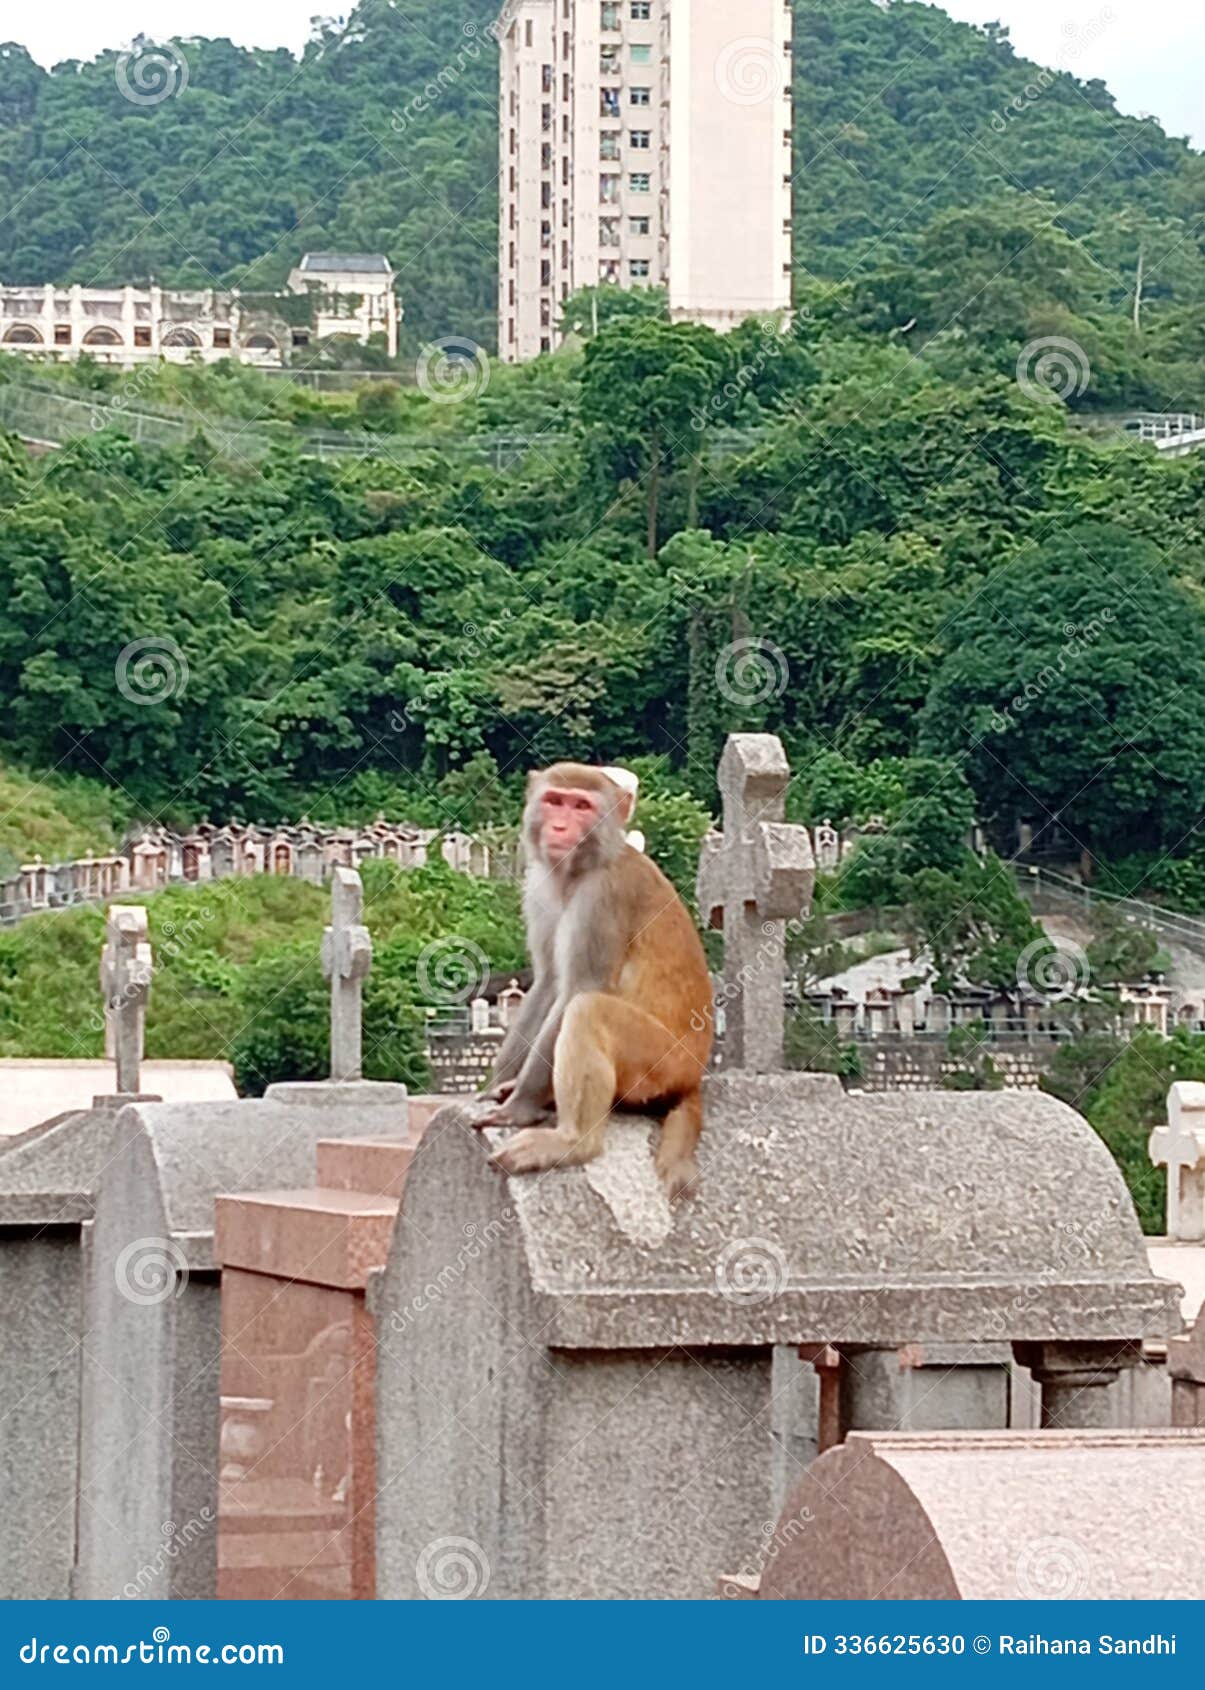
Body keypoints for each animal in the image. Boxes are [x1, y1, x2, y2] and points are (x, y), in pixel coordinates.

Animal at [475, 762, 714, 1201]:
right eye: (555, 801)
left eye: (581, 806)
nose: (560, 827)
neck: (577, 871)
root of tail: (692, 1077)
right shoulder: (539, 886)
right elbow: (549, 982)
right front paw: (502, 1083)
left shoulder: (603, 897)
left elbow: (579, 988)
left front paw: (519, 1106)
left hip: (663, 1064)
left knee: (588, 1011)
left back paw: (572, 1142)